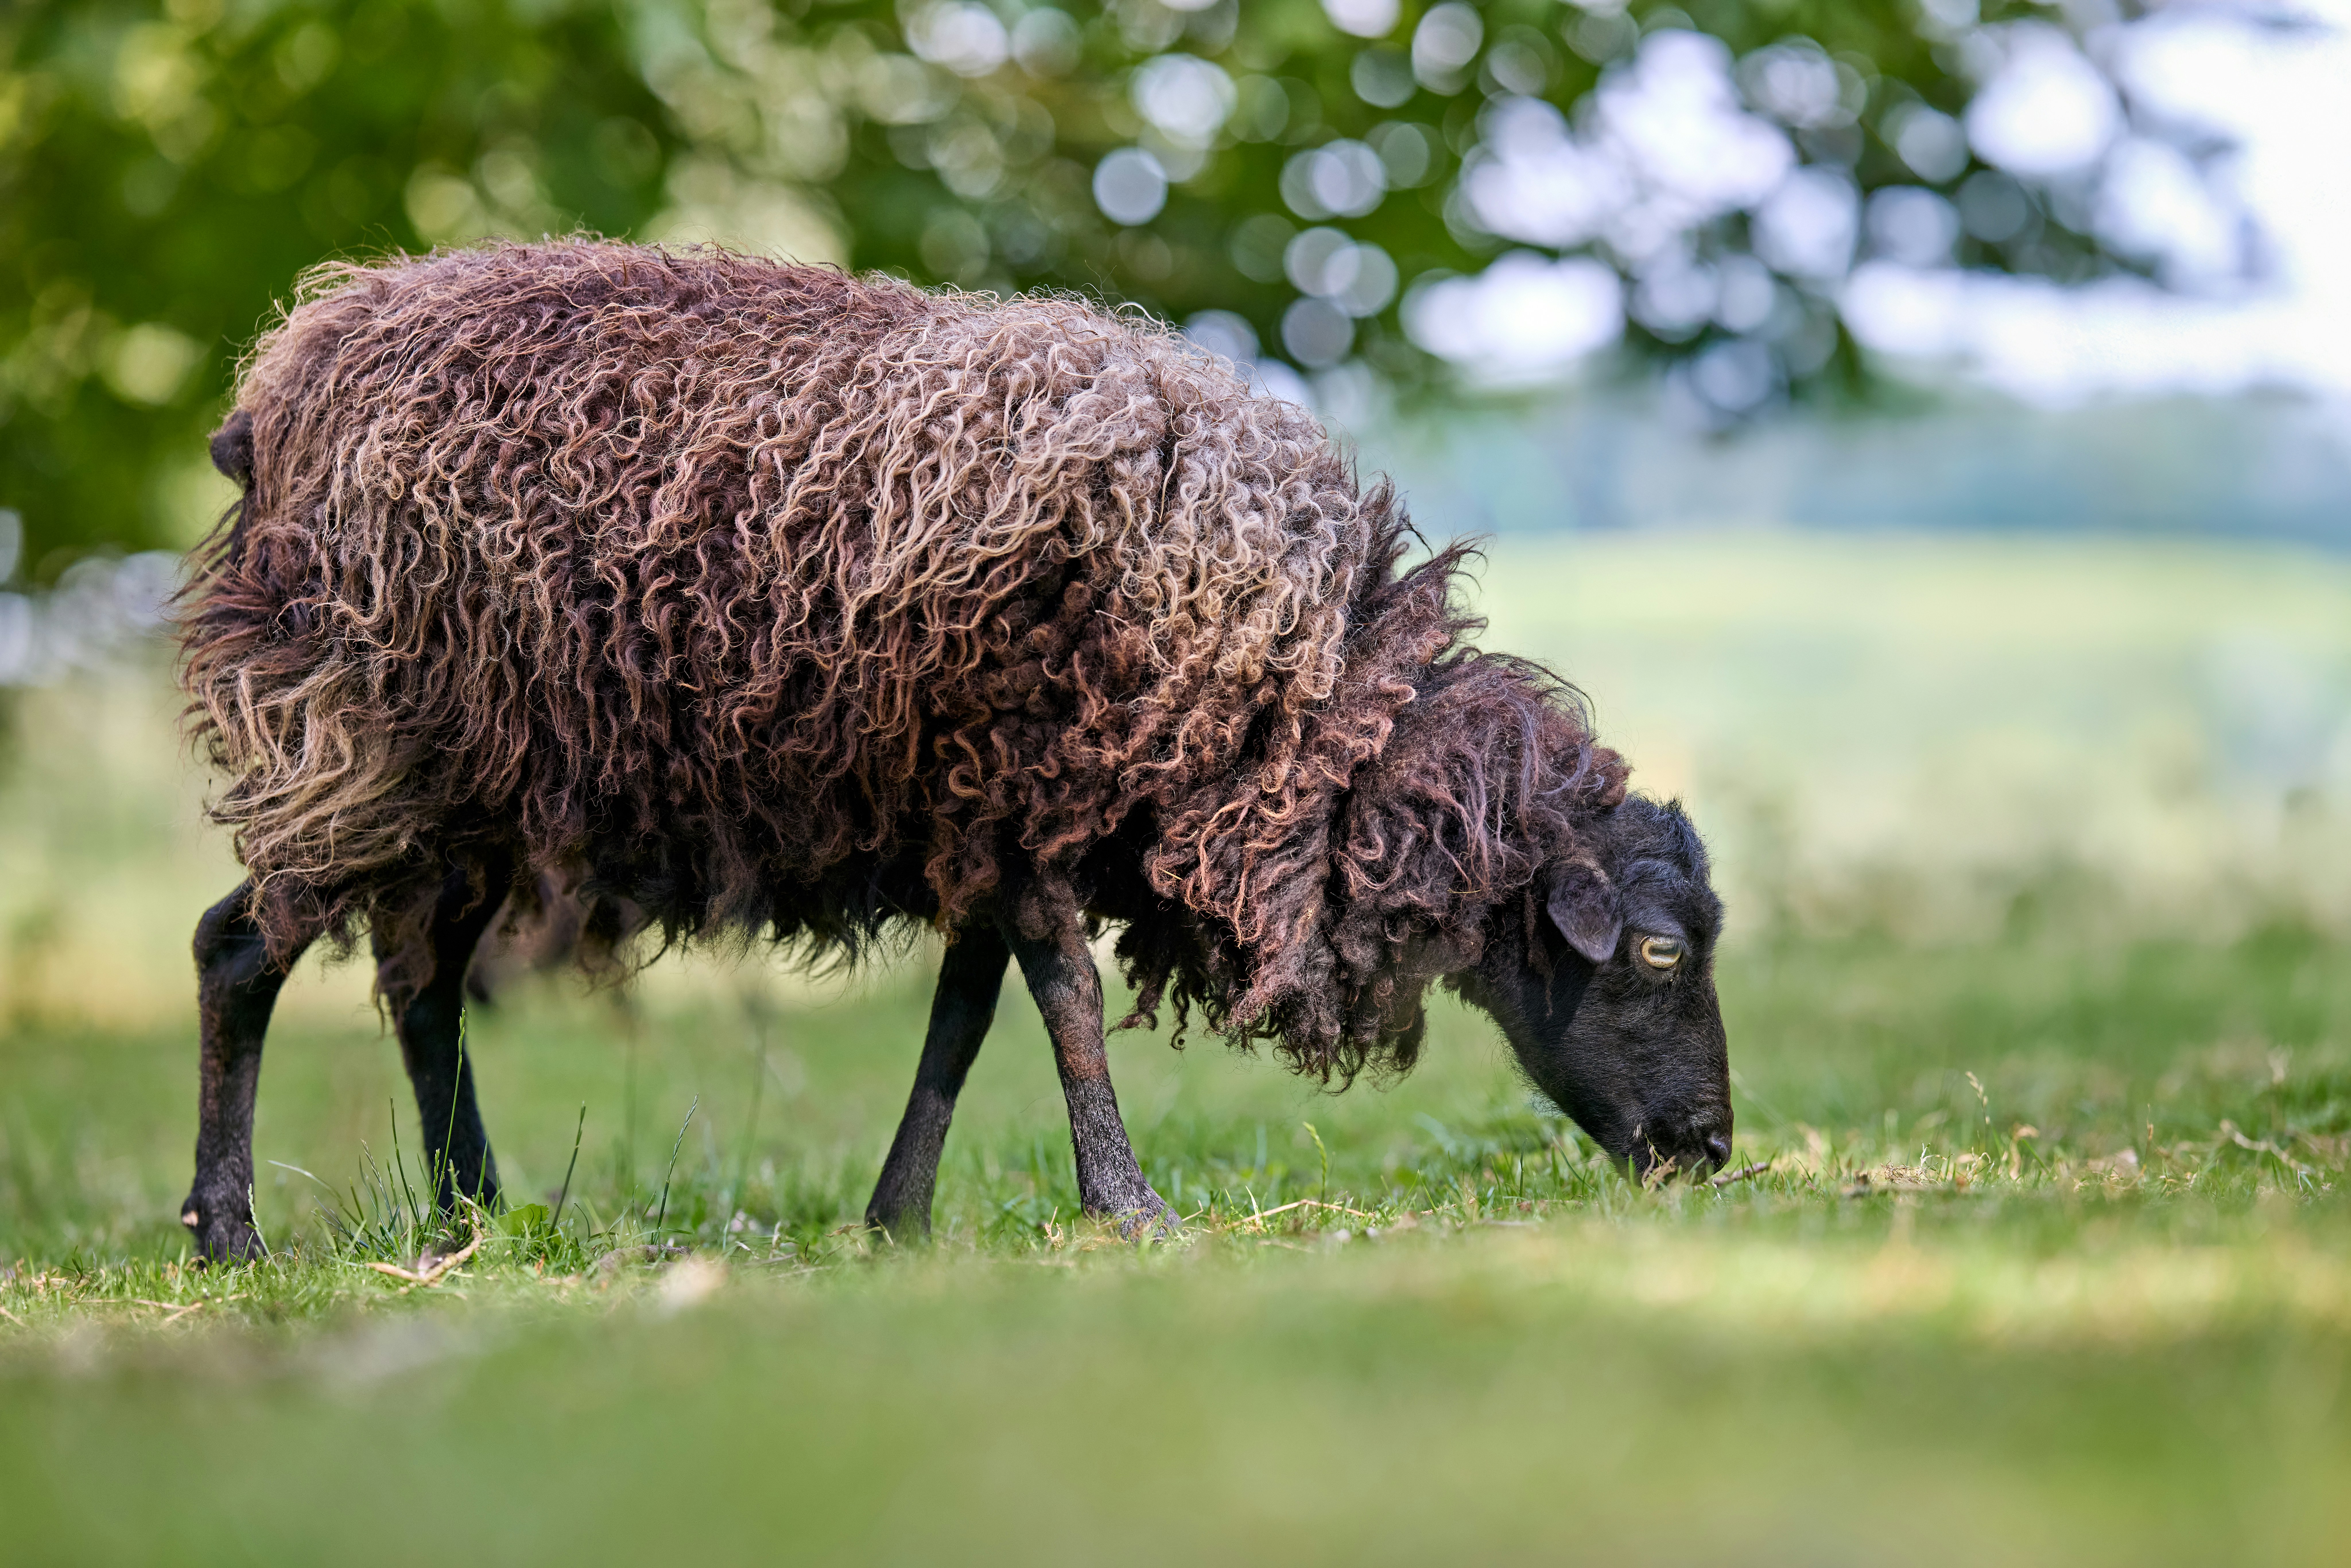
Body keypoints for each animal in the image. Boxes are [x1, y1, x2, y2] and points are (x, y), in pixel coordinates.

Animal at [176, 240, 1731, 1260]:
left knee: (419, 981)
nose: (1709, 1152)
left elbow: (964, 1017)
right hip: (356, 738)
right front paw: (1130, 1208)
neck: (1310, 711)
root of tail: (285, 384)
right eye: (1659, 951)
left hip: (469, 789)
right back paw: (230, 1232)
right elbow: (1065, 1002)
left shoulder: (985, 816)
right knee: (240, 948)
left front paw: (899, 1216)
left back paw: (473, 1212)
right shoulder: (1030, 785)